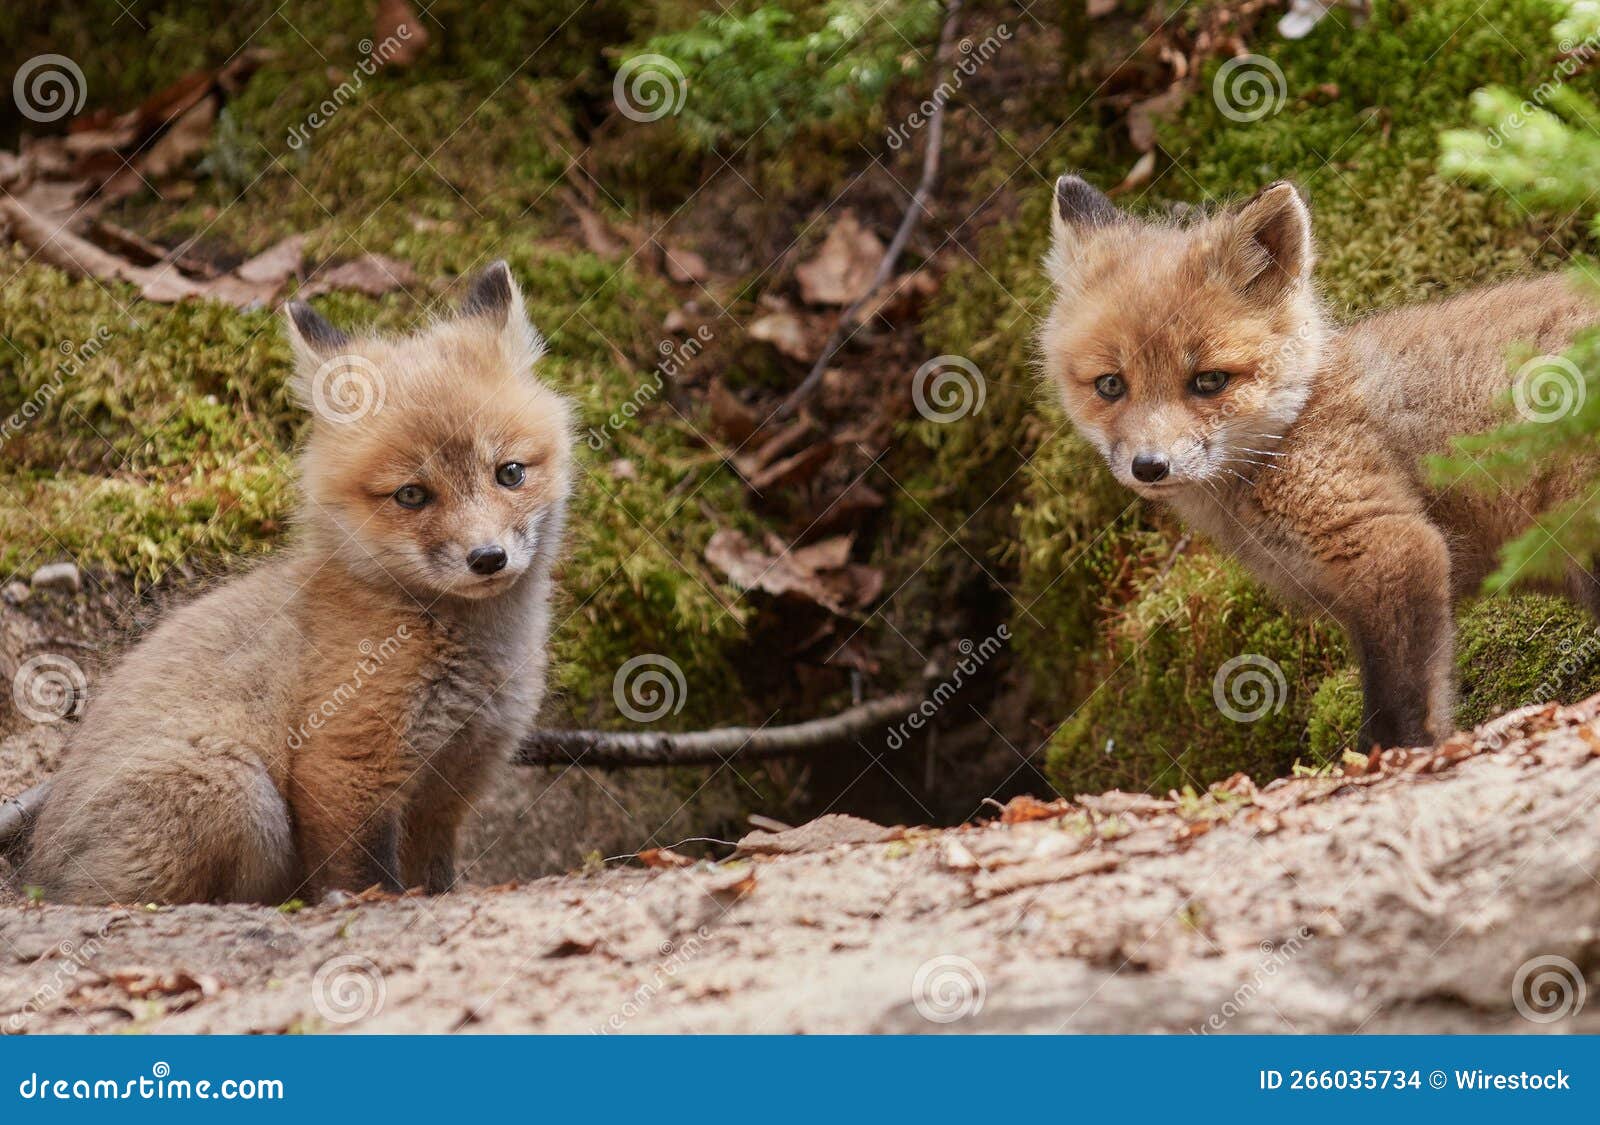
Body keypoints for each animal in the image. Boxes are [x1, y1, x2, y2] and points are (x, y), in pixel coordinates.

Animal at [22, 261, 573, 905]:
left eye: (509, 473)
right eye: (412, 495)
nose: (488, 557)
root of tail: (39, 876)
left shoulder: (448, 791)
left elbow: (436, 883)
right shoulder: (347, 762)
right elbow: (367, 880)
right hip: (240, 793)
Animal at [1039, 173, 1600, 751]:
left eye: (1210, 380)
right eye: (1110, 385)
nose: (1150, 467)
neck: (1291, 430)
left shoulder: (1390, 542)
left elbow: (1400, 705)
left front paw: (1390, 758)